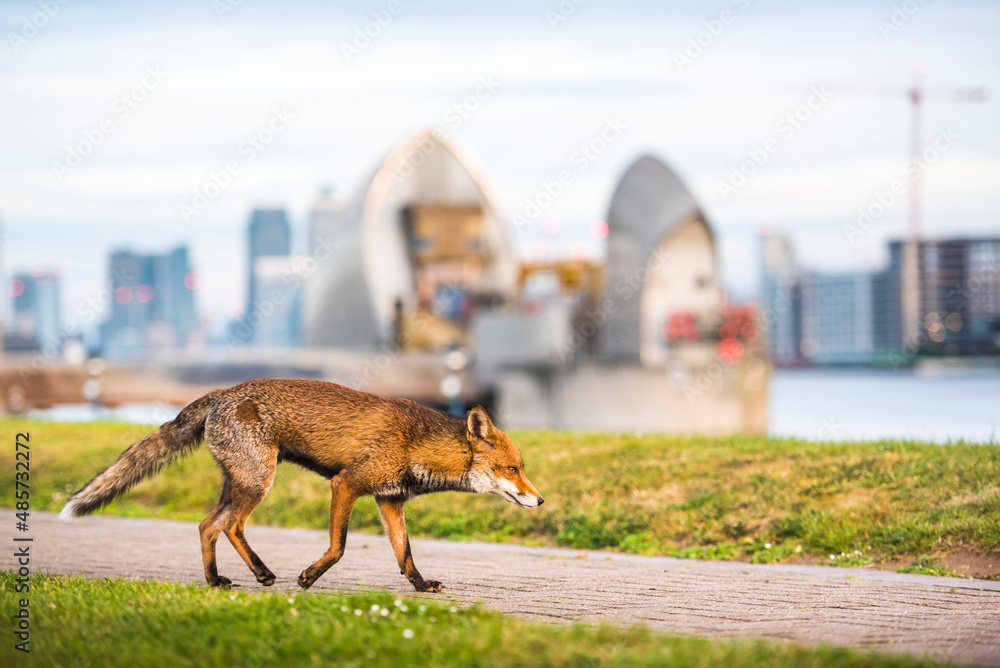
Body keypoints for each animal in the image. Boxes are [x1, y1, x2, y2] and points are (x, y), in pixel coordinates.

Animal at [60, 378, 544, 592]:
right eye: (513, 469)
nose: (540, 499)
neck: (415, 444)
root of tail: (218, 393)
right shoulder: (346, 485)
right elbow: (339, 547)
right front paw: (309, 576)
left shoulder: (390, 500)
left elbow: (405, 554)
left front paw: (422, 587)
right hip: (258, 482)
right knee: (230, 526)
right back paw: (260, 574)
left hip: (238, 483)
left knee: (206, 526)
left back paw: (216, 580)